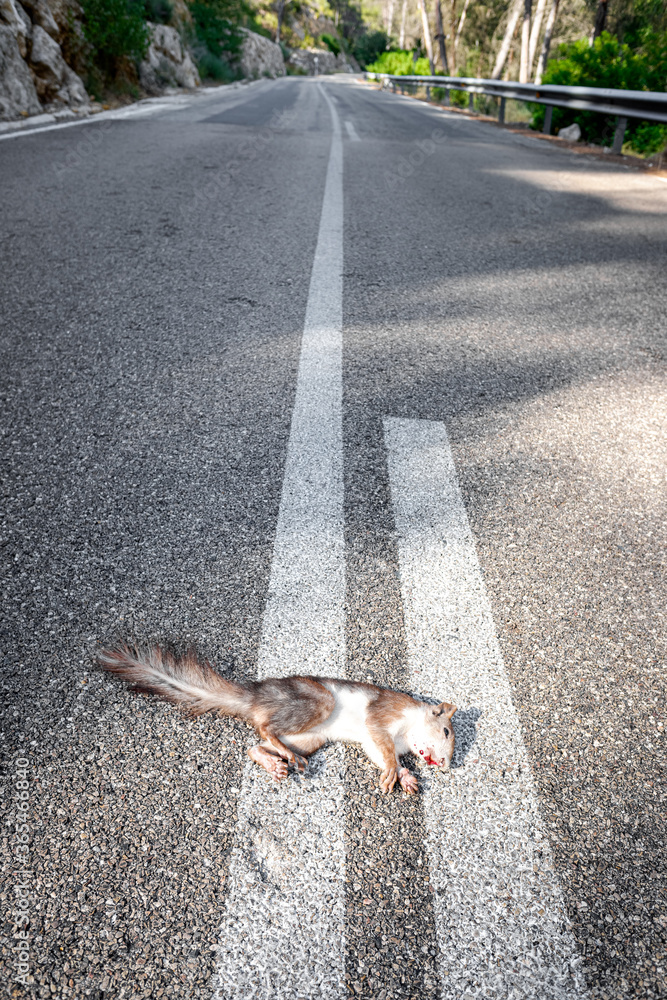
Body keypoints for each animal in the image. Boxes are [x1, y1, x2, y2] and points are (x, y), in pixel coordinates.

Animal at [99, 645, 457, 795]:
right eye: (446, 731)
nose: (444, 764)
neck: (405, 733)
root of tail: (255, 699)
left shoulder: (375, 742)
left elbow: (381, 755)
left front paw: (406, 777)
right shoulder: (384, 714)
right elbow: (383, 747)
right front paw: (396, 772)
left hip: (312, 738)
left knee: (254, 745)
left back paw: (274, 760)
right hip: (317, 702)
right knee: (265, 727)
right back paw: (279, 754)